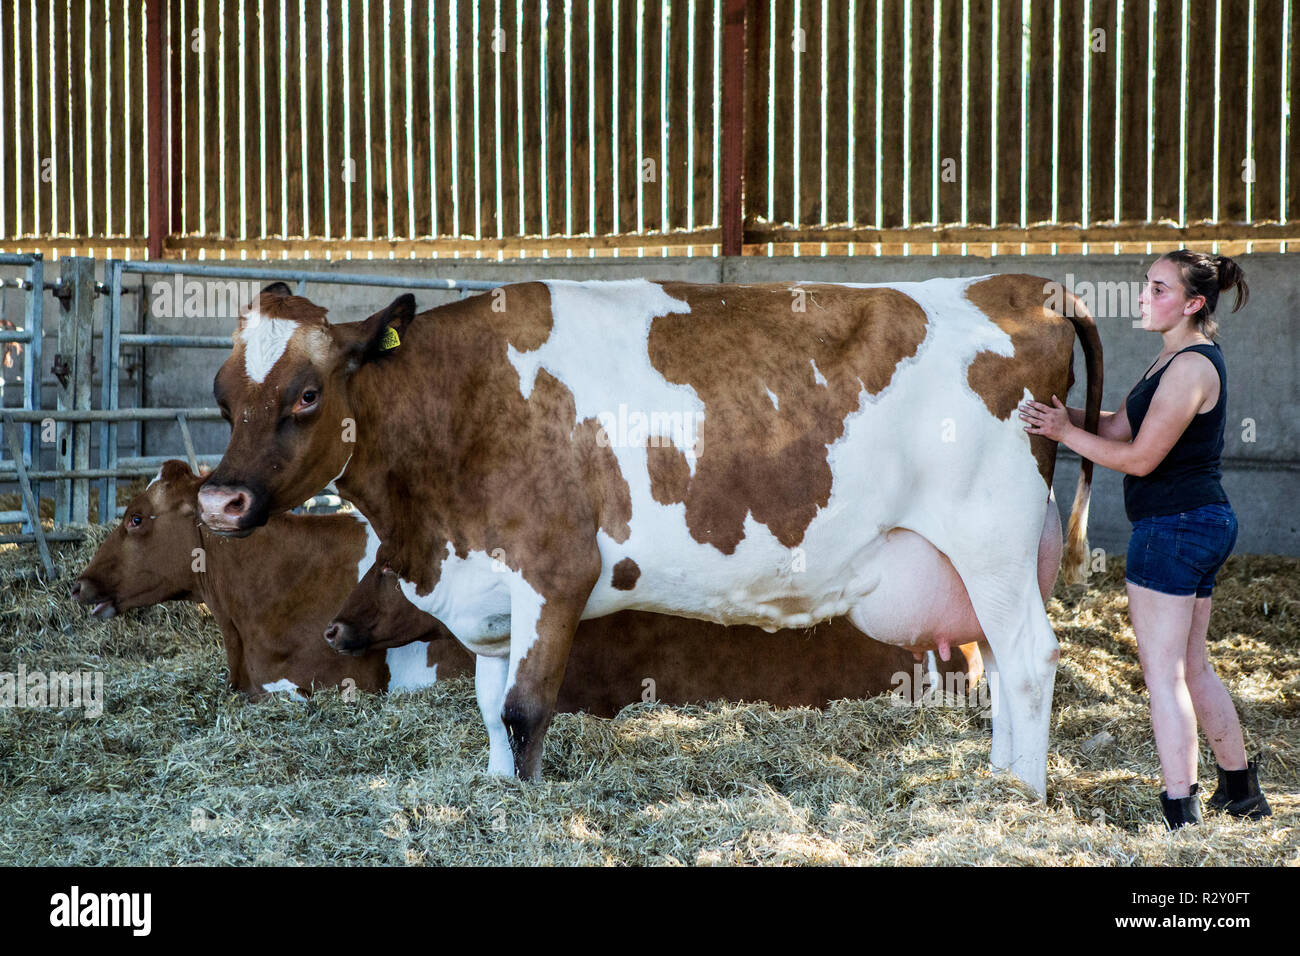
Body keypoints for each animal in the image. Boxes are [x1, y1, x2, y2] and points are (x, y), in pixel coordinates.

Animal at [197, 275, 1102, 798]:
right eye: (222, 394)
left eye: (308, 393)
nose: (220, 500)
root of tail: (1017, 281)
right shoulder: (489, 590)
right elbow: (489, 712)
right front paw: (496, 796)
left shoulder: (554, 573)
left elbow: (525, 711)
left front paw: (528, 808)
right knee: (999, 657)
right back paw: (997, 775)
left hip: (993, 538)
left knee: (1029, 657)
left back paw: (1023, 798)